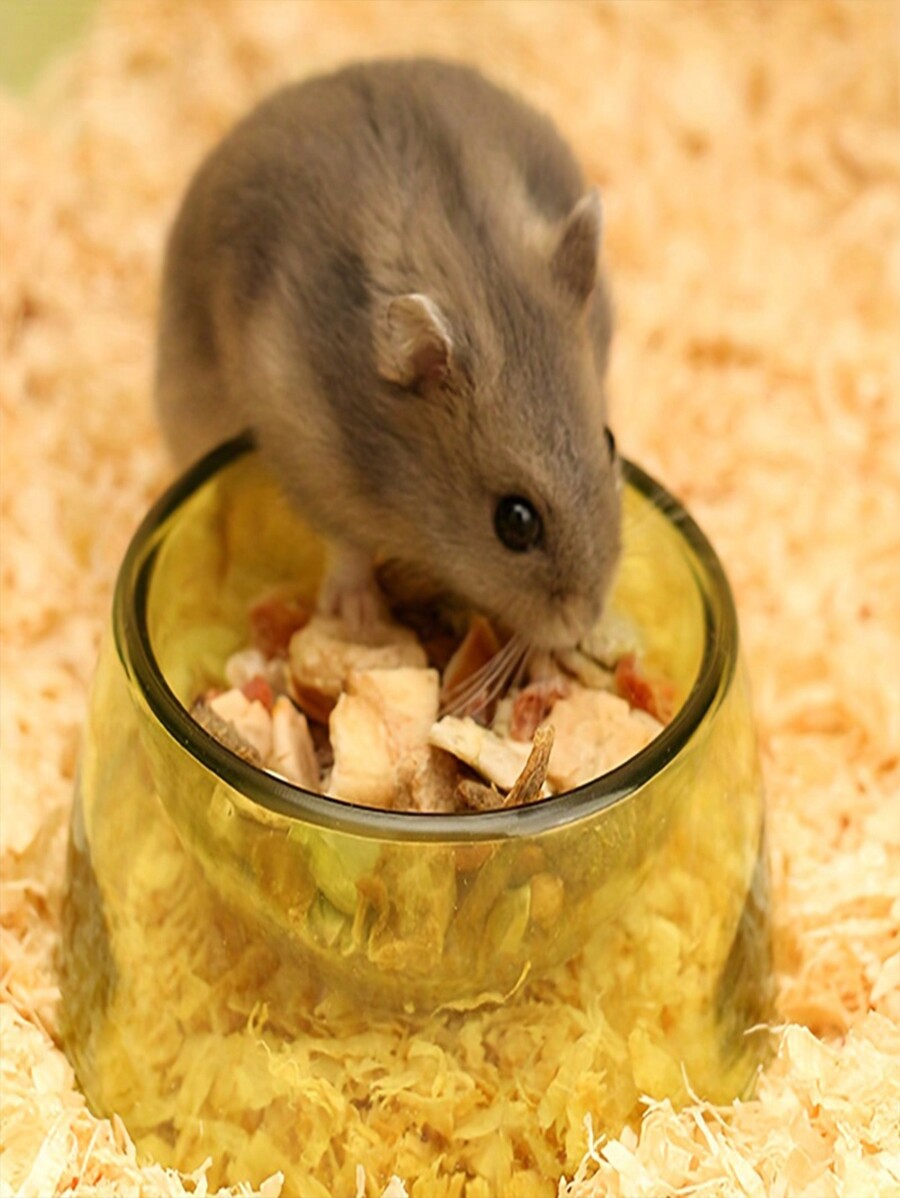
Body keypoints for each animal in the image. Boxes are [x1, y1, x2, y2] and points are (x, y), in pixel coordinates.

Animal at [155, 58, 620, 651]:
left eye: (609, 441)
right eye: (515, 522)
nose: (585, 621)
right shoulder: (309, 453)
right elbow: (347, 543)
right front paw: (358, 617)